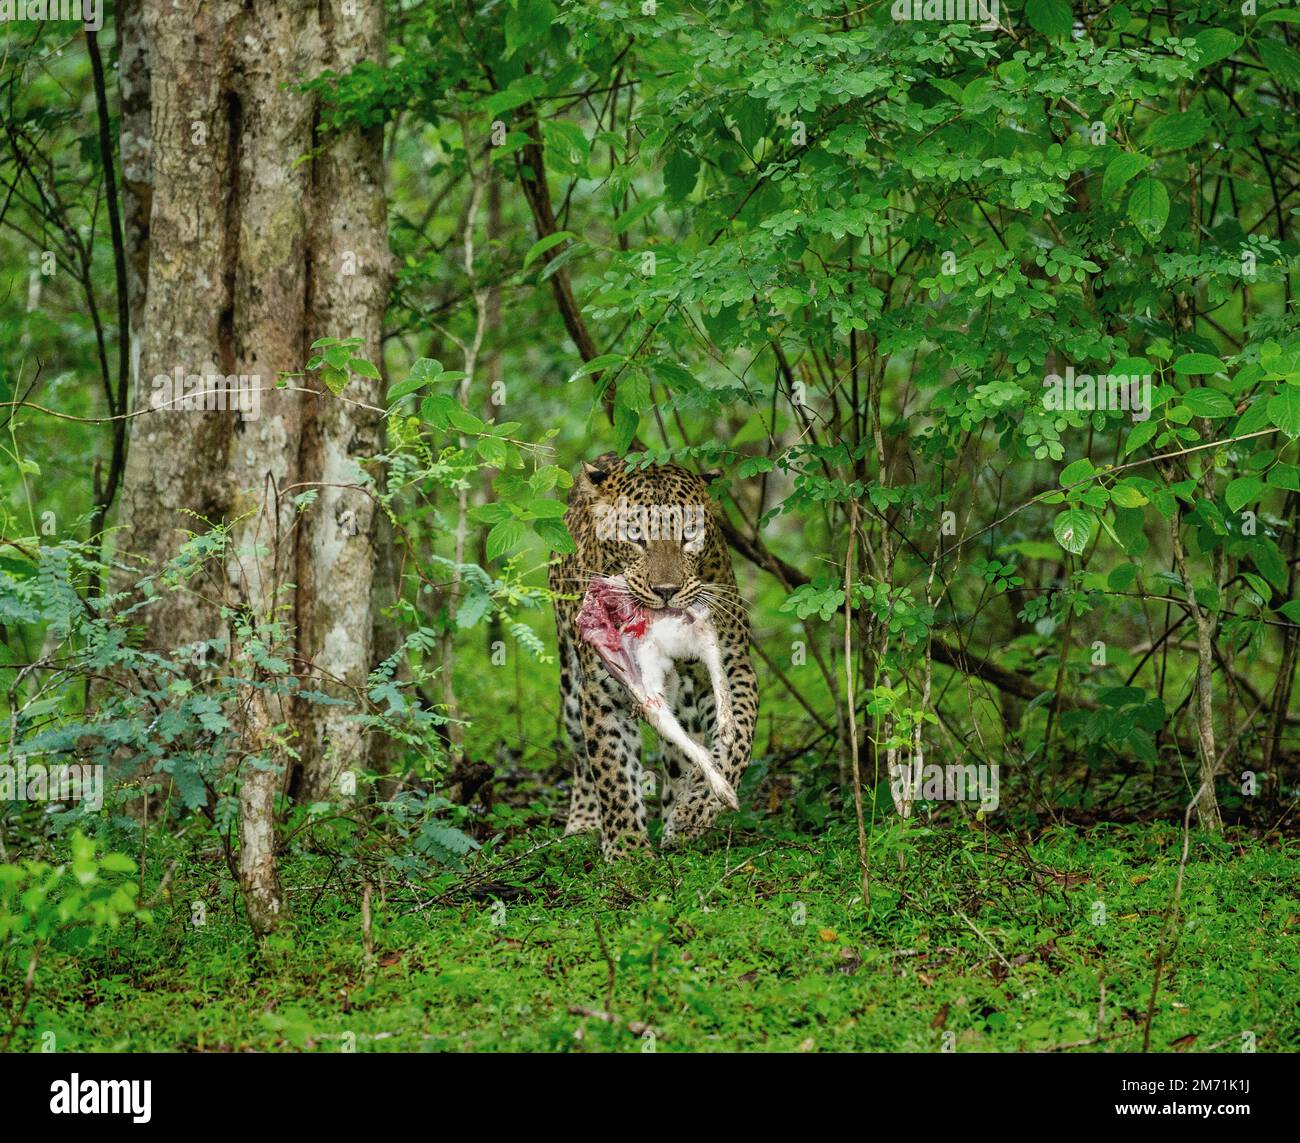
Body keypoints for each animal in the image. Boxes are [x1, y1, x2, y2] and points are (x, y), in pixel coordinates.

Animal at [549, 452, 758, 860]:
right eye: (635, 535)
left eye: (689, 534)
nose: (665, 590)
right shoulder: (602, 689)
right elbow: (612, 770)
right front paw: (628, 853)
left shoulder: (732, 664)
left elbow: (735, 738)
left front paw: (694, 810)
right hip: (570, 686)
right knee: (582, 759)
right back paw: (582, 824)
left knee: (680, 752)